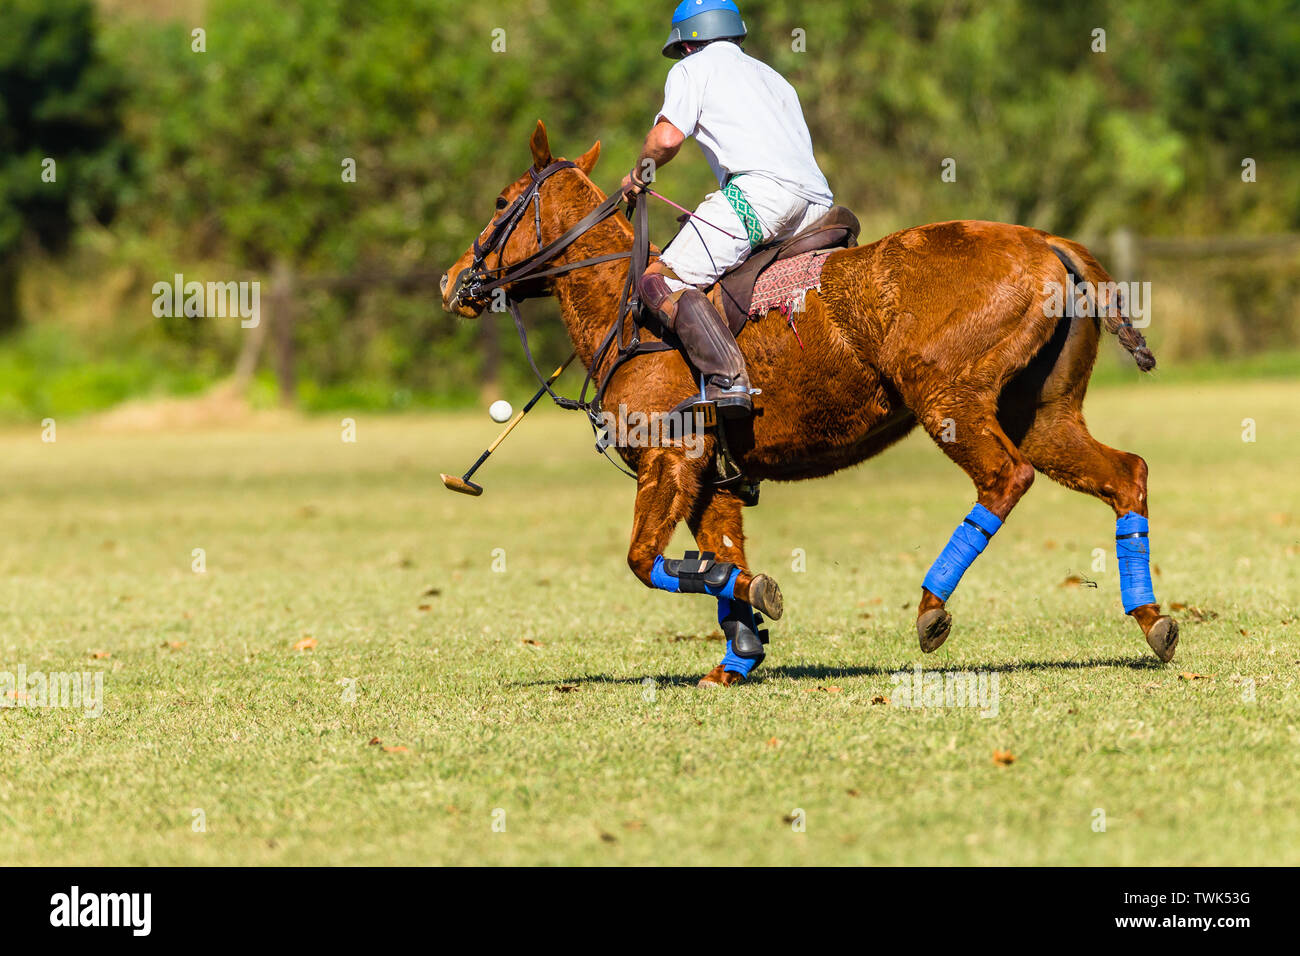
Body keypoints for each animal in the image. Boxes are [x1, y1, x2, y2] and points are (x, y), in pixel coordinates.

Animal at [440, 122, 1178, 687]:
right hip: (1043, 414)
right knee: (1126, 473)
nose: (453, 281)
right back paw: (1155, 623)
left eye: (502, 200)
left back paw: (930, 609)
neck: (621, 316)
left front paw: (750, 609)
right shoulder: (712, 479)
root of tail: (1048, 242)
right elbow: (722, 560)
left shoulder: (670, 458)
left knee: (1006, 478)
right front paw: (737, 654)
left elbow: (646, 560)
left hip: (947, 397)